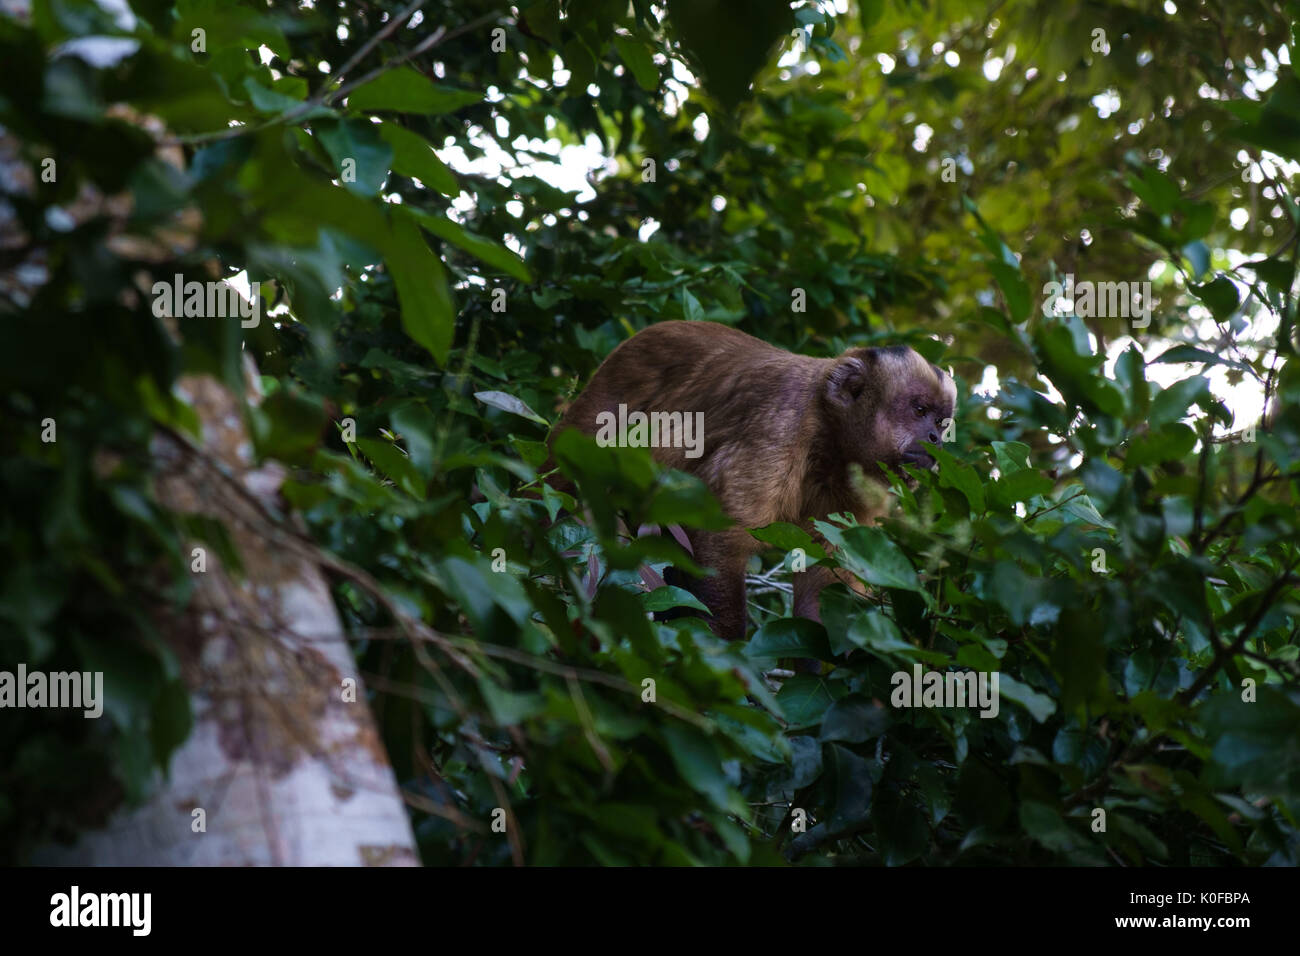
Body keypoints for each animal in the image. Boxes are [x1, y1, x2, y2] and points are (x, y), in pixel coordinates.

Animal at [548, 320, 957, 641]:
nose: (935, 440)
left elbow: (823, 582)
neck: (829, 438)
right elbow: (721, 539)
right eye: (919, 410)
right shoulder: (781, 427)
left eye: (940, 422)